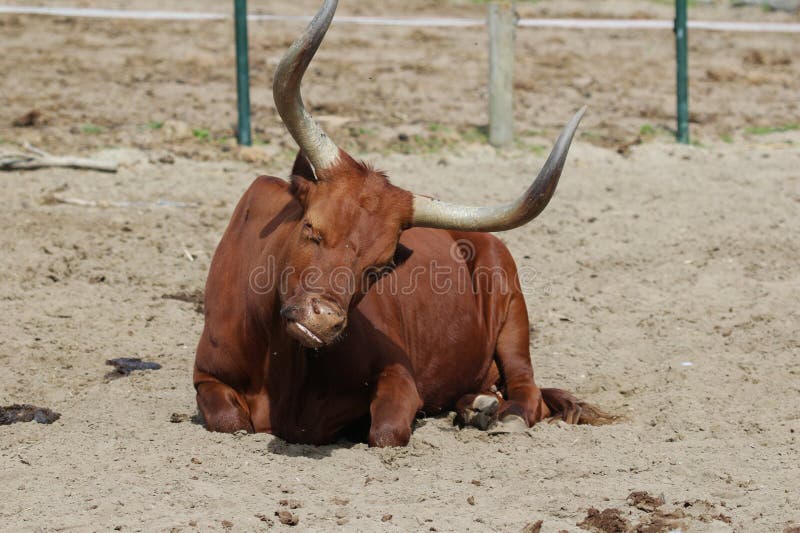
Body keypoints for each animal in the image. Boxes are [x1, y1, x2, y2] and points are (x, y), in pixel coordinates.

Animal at [193, 0, 613, 447]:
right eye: (311, 228)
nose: (321, 318)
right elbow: (229, 420)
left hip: (513, 314)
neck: (283, 360)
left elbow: (387, 431)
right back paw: (477, 405)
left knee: (528, 391)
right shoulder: (206, 376)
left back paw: (501, 413)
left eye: (379, 268)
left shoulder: (401, 377)